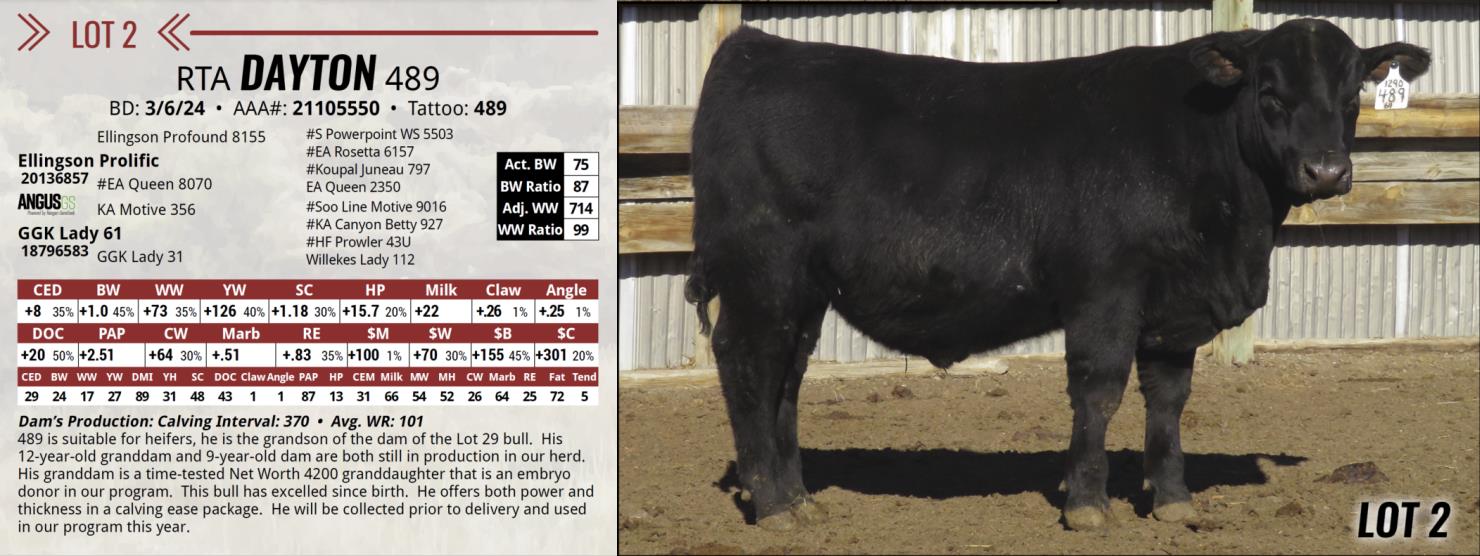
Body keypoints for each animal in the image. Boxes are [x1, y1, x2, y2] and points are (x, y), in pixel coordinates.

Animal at [684, 19, 1429, 531]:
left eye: (1354, 93)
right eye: (1269, 93)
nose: (1326, 170)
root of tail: (754, 46)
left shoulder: (1175, 309)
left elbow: (1169, 400)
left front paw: (1174, 500)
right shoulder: (1105, 291)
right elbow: (1099, 393)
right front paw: (1088, 503)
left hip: (802, 289)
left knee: (787, 374)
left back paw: (799, 497)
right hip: (761, 274)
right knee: (746, 362)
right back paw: (773, 504)